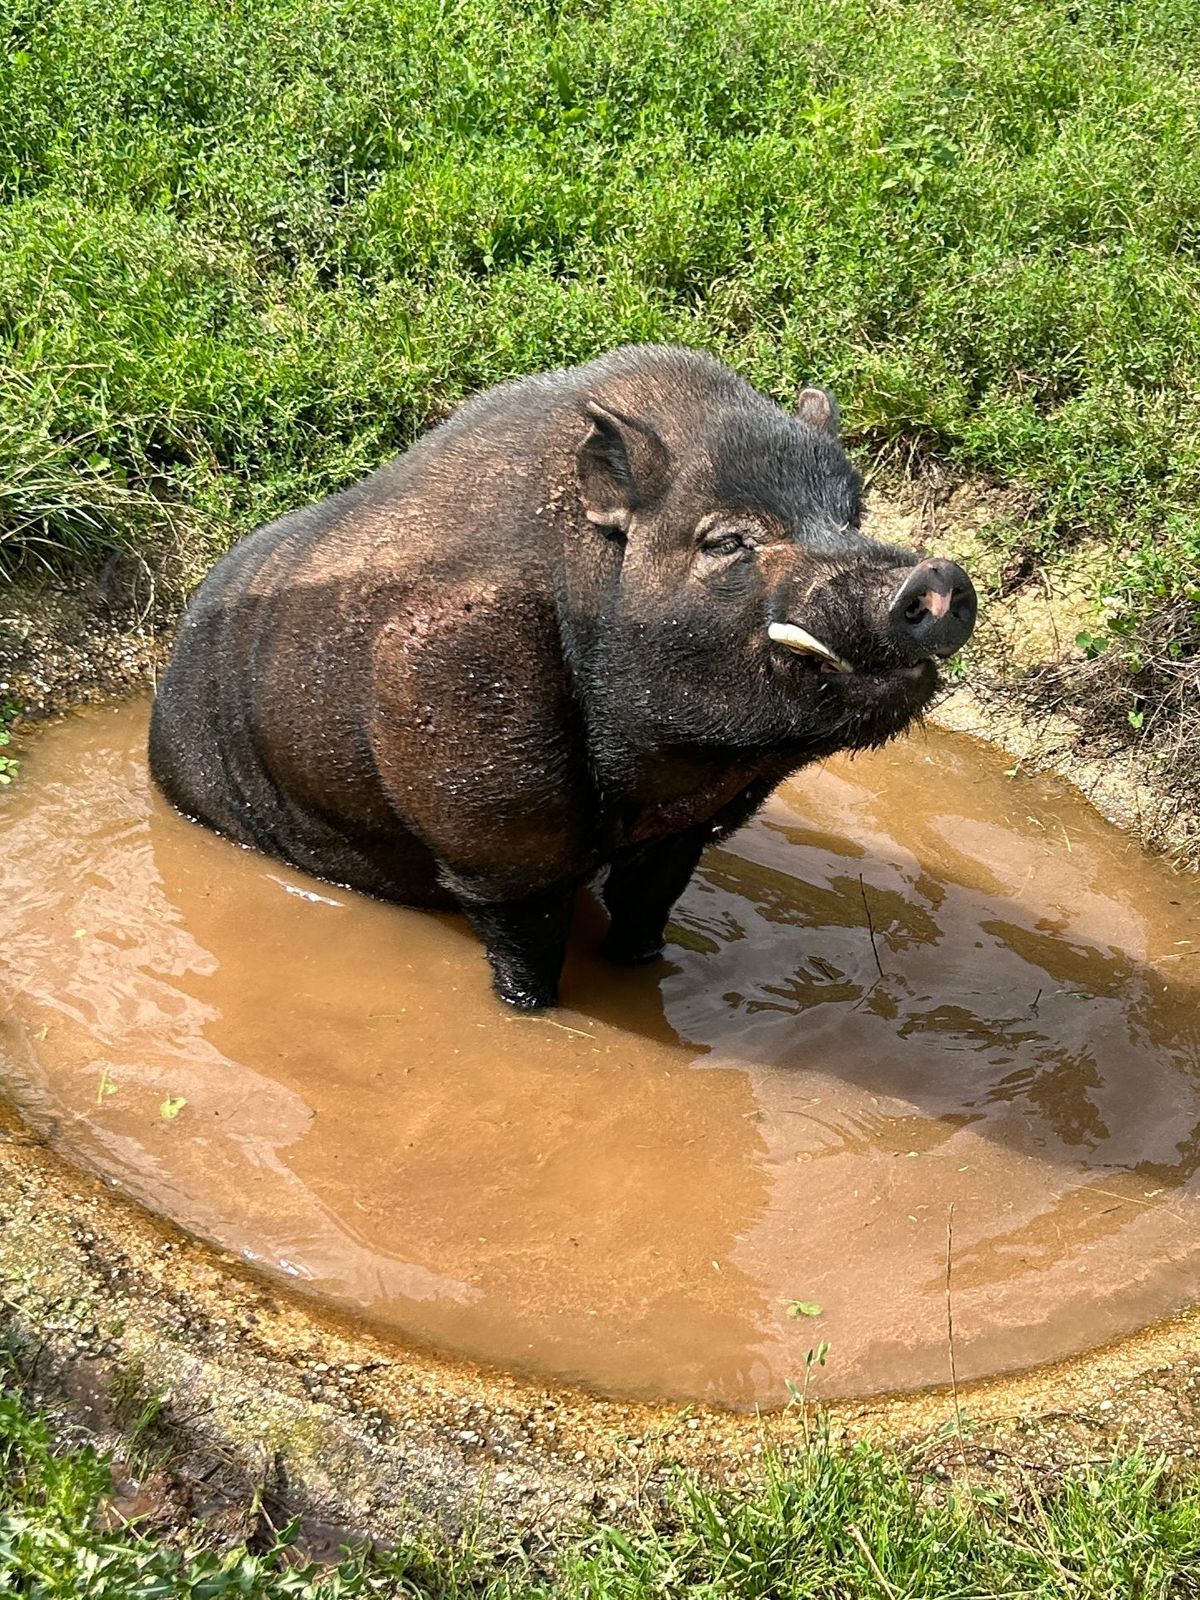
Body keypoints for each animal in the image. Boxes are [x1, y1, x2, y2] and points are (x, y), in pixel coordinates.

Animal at [149, 346, 976, 1009]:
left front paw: (645, 966)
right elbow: (529, 936)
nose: (935, 576)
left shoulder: (678, 834)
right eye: (727, 540)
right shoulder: (491, 812)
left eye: (852, 512)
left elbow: (649, 904)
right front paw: (532, 1009)